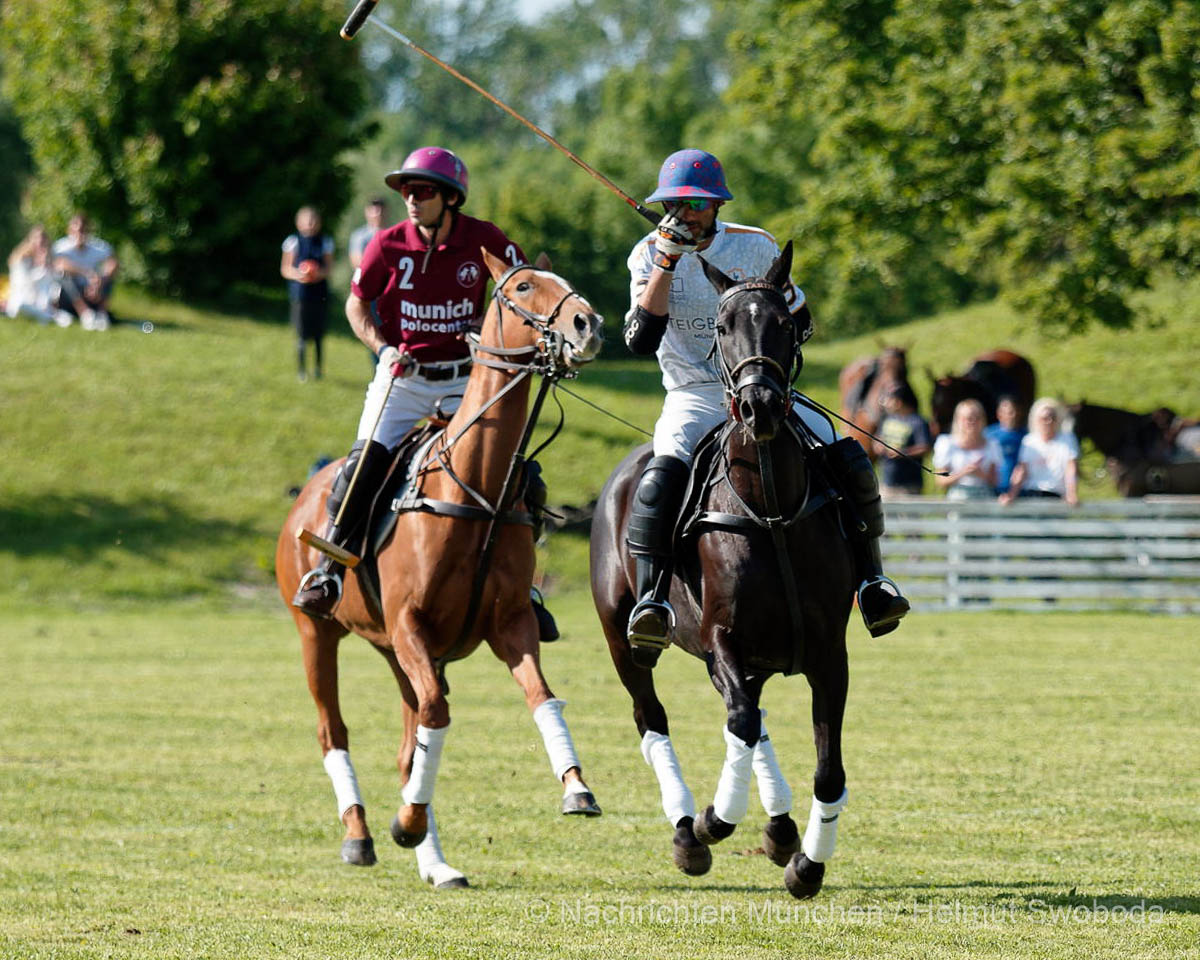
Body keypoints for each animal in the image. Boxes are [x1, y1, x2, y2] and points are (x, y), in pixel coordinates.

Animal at [276, 249, 605, 888]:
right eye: (523, 287)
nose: (588, 324)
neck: (478, 489)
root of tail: (304, 495)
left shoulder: (508, 624)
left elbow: (541, 697)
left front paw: (577, 789)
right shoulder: (412, 625)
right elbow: (437, 713)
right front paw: (403, 825)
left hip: (389, 648)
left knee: (409, 740)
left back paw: (435, 861)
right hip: (315, 632)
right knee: (334, 730)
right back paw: (360, 835)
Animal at [590, 243, 858, 900]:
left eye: (786, 323)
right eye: (722, 326)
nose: (759, 405)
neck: (771, 508)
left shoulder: (828, 654)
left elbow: (828, 769)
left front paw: (807, 864)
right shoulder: (722, 639)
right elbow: (737, 721)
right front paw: (716, 819)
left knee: (752, 721)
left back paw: (780, 829)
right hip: (623, 637)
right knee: (654, 716)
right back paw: (688, 830)